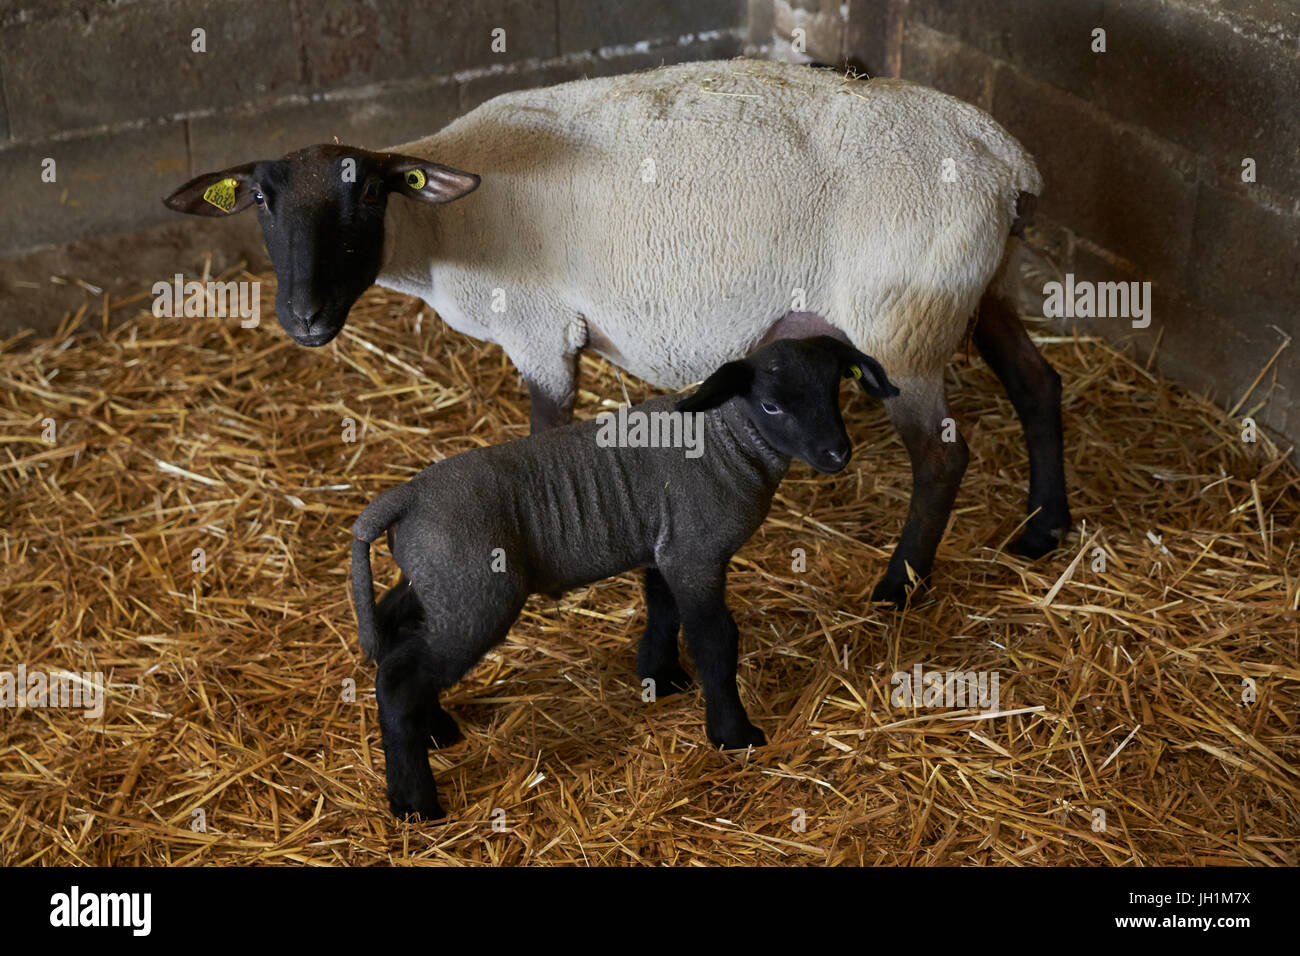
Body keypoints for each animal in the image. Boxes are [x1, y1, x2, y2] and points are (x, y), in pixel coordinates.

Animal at [164, 58, 1070, 605]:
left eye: (366, 200)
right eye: (263, 202)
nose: (306, 320)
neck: (443, 229)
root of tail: (1006, 158)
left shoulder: (538, 329)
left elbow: (541, 436)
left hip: (901, 323)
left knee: (942, 458)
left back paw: (896, 588)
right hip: (981, 287)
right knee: (1039, 385)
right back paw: (1043, 531)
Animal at [350, 336, 898, 819]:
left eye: (835, 389)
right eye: (771, 406)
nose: (837, 454)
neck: (725, 440)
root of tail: (402, 500)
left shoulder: (666, 548)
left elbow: (663, 611)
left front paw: (660, 676)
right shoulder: (695, 555)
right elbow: (715, 642)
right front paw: (734, 734)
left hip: (436, 585)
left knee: (395, 639)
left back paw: (436, 730)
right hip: (475, 594)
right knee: (399, 679)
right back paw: (415, 804)